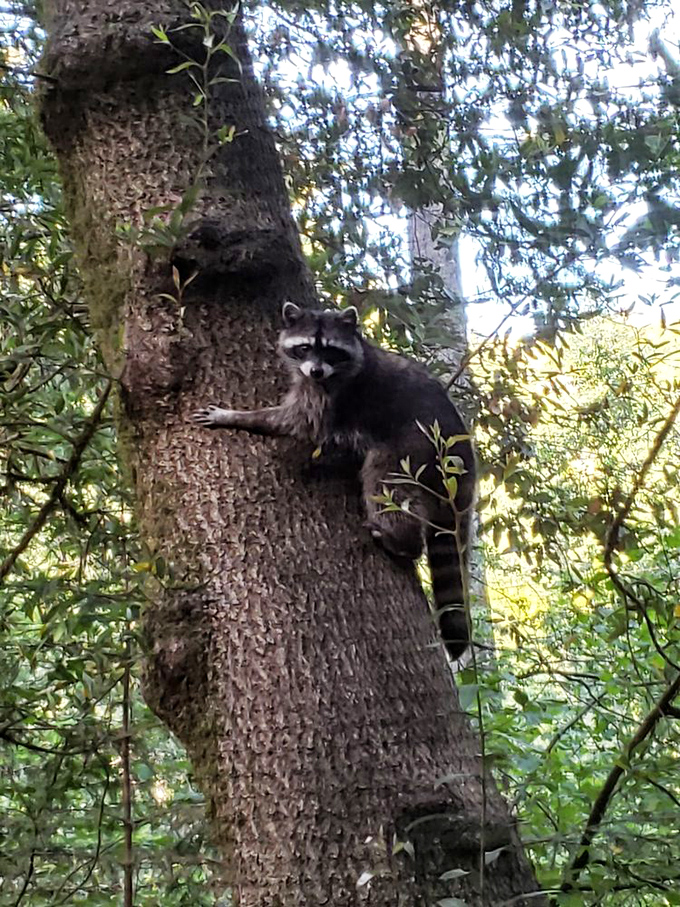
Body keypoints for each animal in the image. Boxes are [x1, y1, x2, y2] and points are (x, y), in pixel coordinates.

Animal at [192, 302, 476, 659]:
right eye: (303, 348)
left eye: (329, 349)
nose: (315, 371)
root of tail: (463, 451)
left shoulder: (332, 394)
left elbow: (296, 421)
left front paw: (238, 417)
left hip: (413, 447)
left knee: (385, 483)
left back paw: (401, 541)